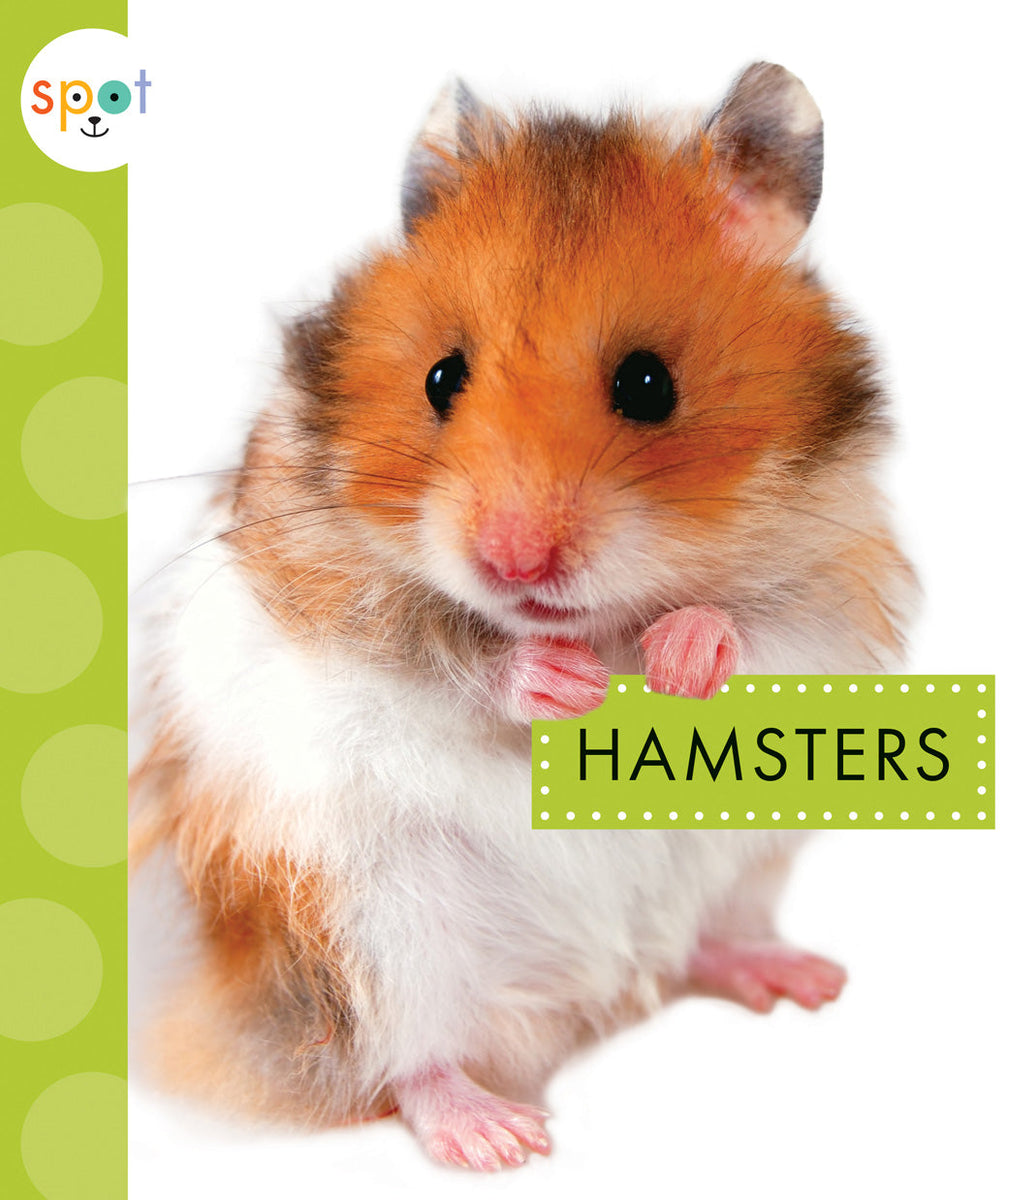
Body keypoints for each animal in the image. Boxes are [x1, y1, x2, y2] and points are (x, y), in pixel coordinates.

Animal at [131, 62, 917, 1170]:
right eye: (440, 376)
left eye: (648, 383)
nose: (510, 561)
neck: (591, 616)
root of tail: (585, 1001)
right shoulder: (324, 587)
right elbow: (439, 656)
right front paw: (565, 683)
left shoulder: (834, 571)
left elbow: (756, 627)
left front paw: (676, 659)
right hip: (371, 927)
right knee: (407, 1062)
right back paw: (498, 1138)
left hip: (742, 863)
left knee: (697, 947)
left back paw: (800, 979)